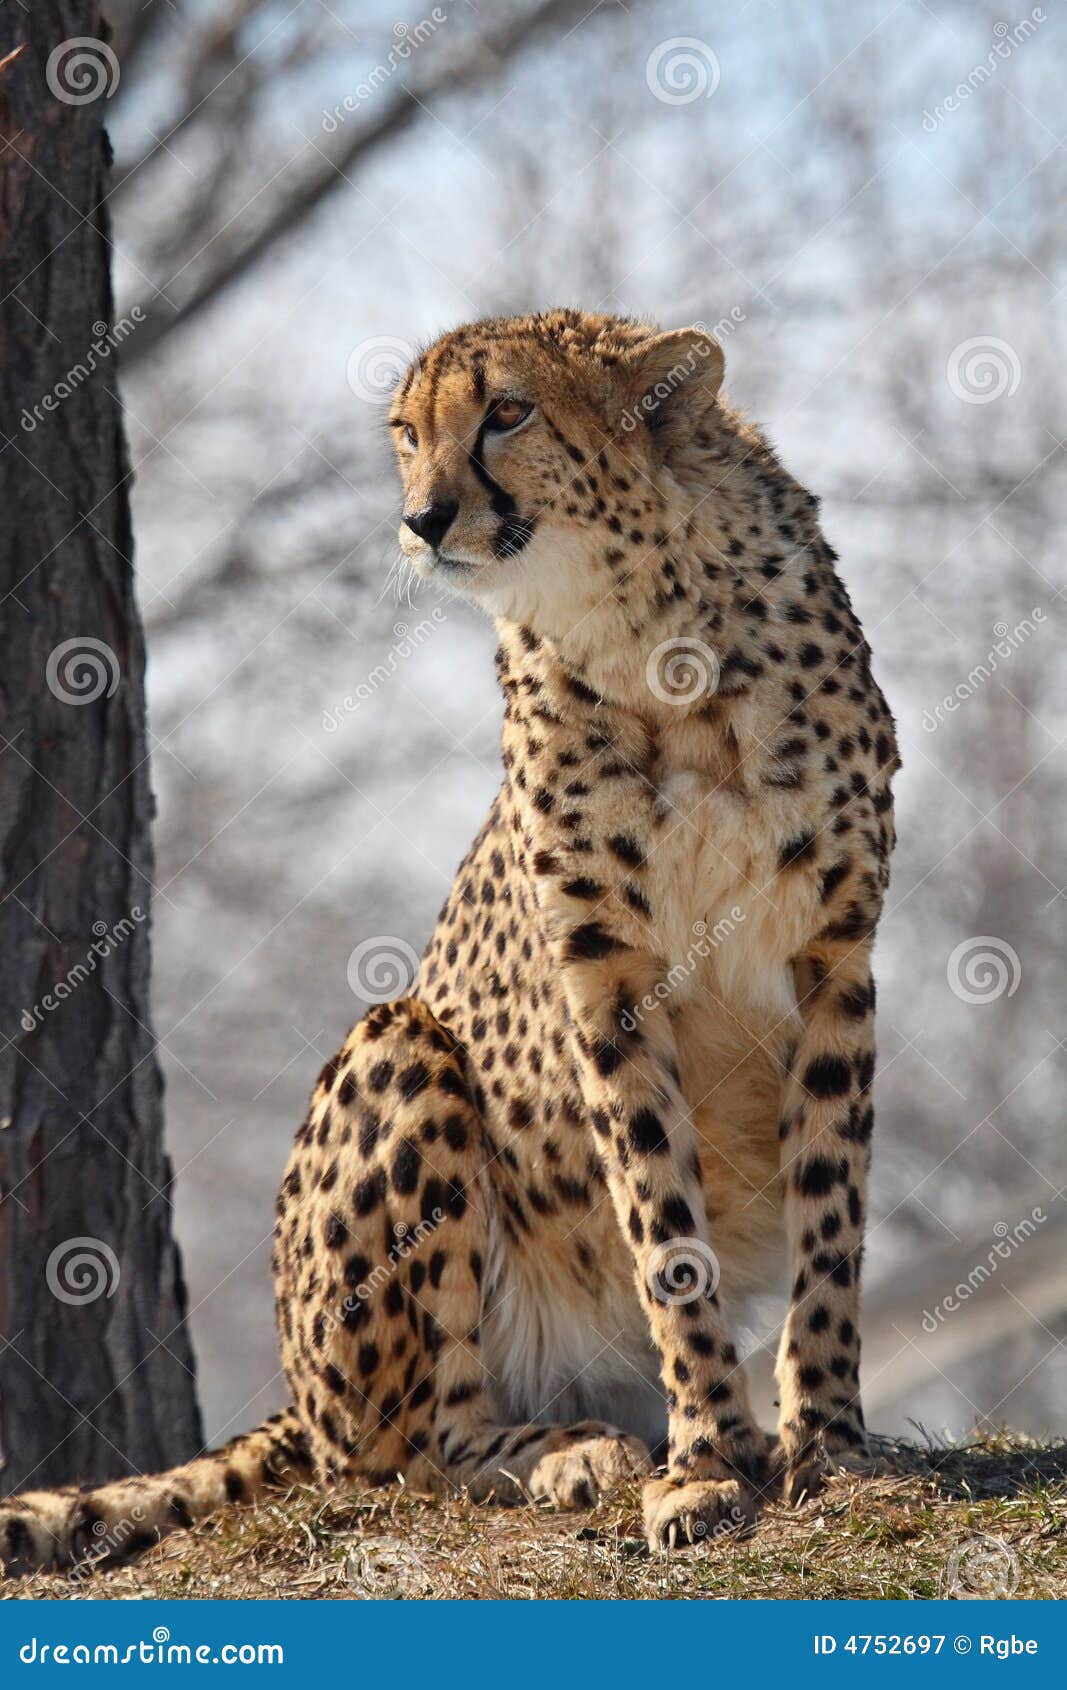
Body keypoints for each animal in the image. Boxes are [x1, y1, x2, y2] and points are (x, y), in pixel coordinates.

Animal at [1, 308, 898, 1573]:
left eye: (507, 412)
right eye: (406, 433)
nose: (422, 518)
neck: (652, 635)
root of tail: (294, 1394)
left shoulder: (833, 959)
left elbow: (828, 1221)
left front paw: (821, 1438)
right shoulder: (605, 983)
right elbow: (665, 1236)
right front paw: (704, 1462)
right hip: (402, 1045)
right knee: (398, 1455)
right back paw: (576, 1453)